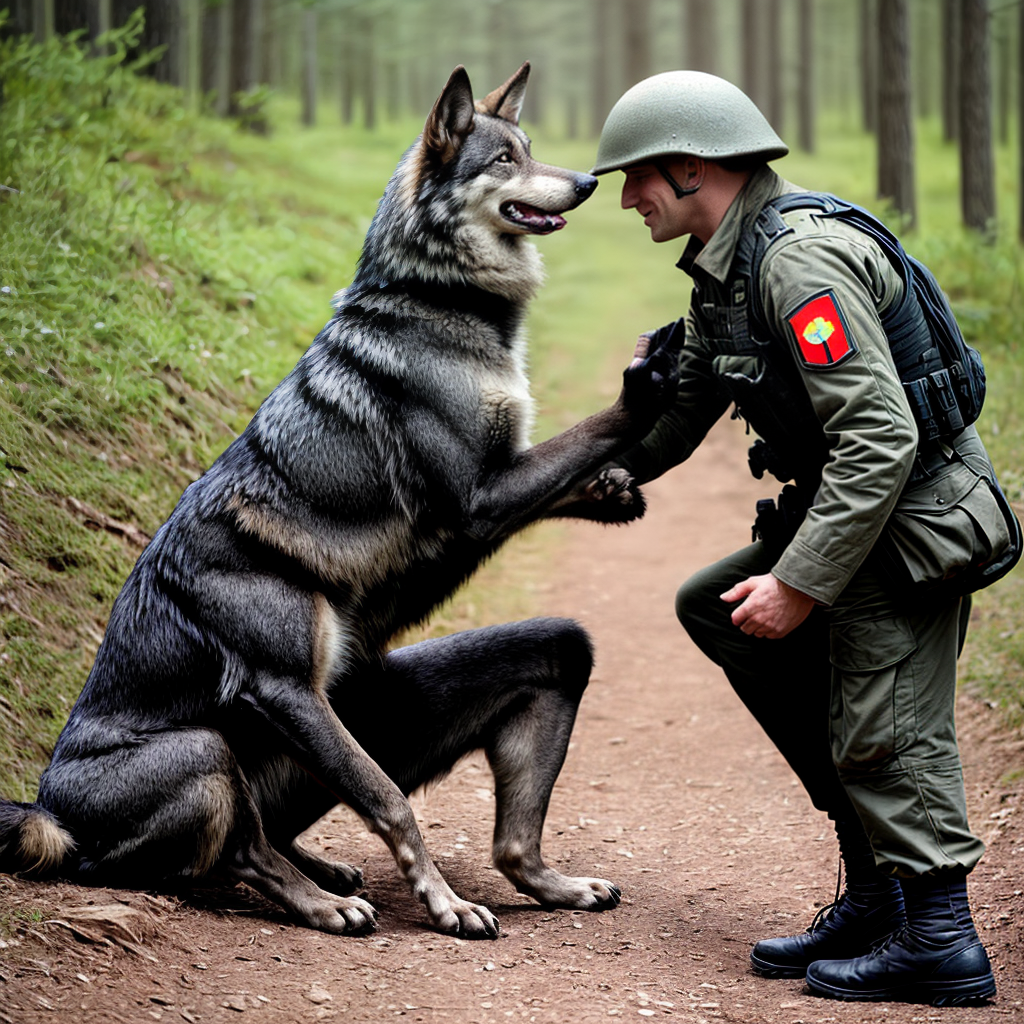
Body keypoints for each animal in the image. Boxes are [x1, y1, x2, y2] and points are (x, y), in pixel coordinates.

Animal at [0, 63, 680, 938]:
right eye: (504, 159)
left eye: (532, 149)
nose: (591, 182)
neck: (443, 301)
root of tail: (49, 812)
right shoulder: (471, 503)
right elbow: (390, 803)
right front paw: (442, 903)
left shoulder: (487, 498)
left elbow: (564, 470)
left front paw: (609, 490)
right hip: (210, 751)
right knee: (244, 852)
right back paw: (325, 904)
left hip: (412, 707)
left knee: (432, 837)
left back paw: (506, 881)